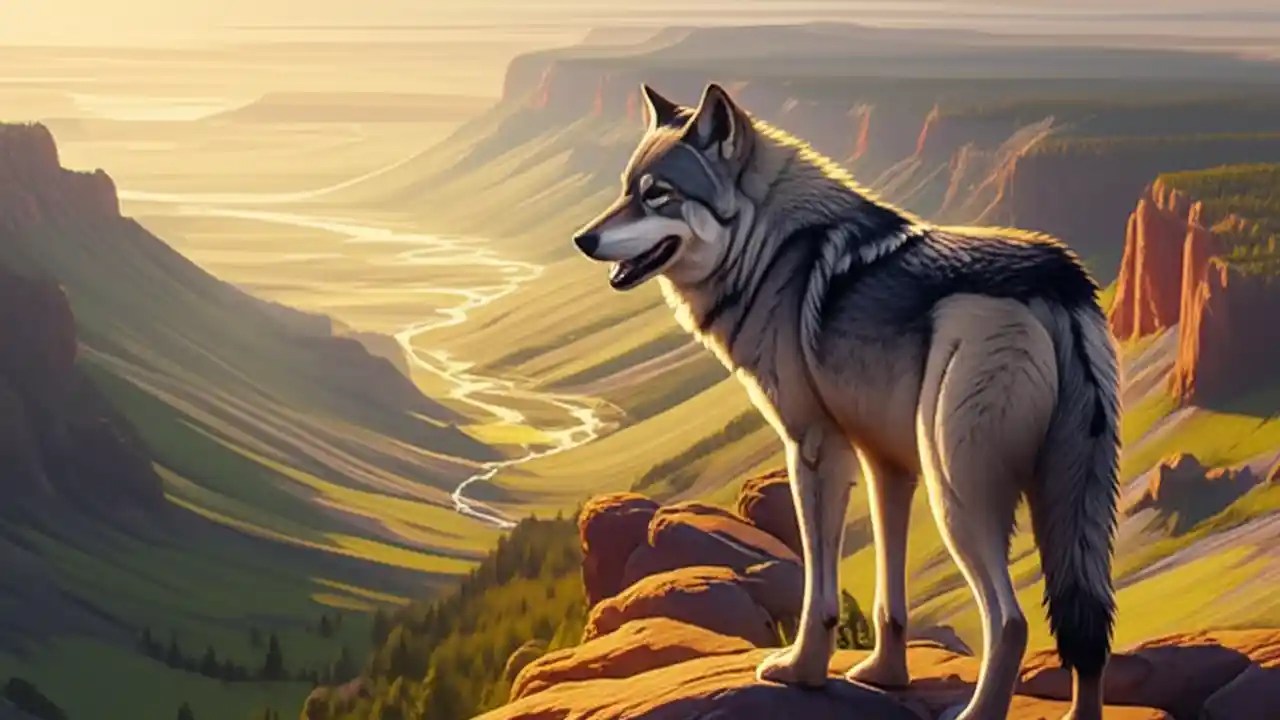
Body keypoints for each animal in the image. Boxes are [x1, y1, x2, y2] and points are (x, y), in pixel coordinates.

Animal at [571, 83, 1120, 720]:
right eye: (625, 190)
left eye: (658, 195)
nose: (582, 239)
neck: (769, 251)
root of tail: (1060, 280)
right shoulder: (888, 465)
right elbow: (890, 597)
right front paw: (886, 676)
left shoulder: (814, 447)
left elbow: (819, 590)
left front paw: (801, 671)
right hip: (1057, 503)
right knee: (1087, 629)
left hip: (956, 493)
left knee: (1010, 621)